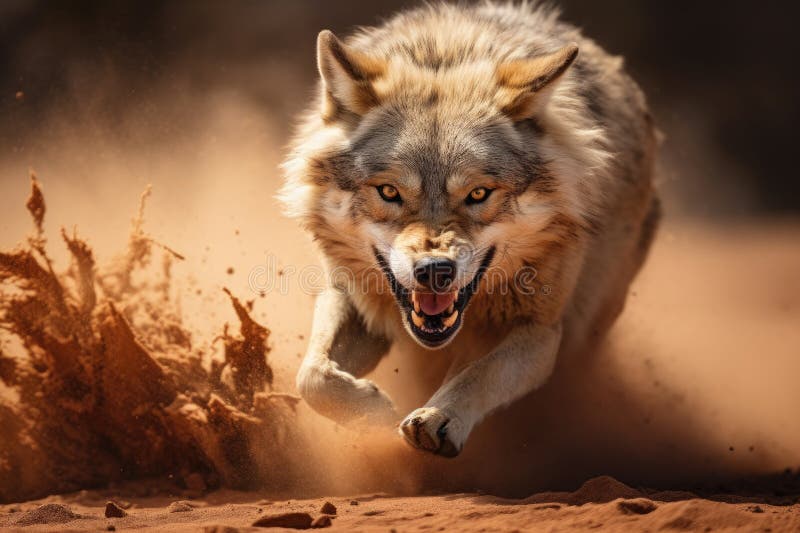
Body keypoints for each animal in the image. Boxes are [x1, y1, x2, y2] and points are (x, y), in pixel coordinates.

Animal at [280, 1, 659, 457]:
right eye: (389, 191)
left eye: (478, 194)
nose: (434, 271)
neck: (448, 53)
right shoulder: (348, 294)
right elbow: (312, 378)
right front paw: (370, 414)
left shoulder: (540, 332)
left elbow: (479, 373)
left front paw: (439, 418)